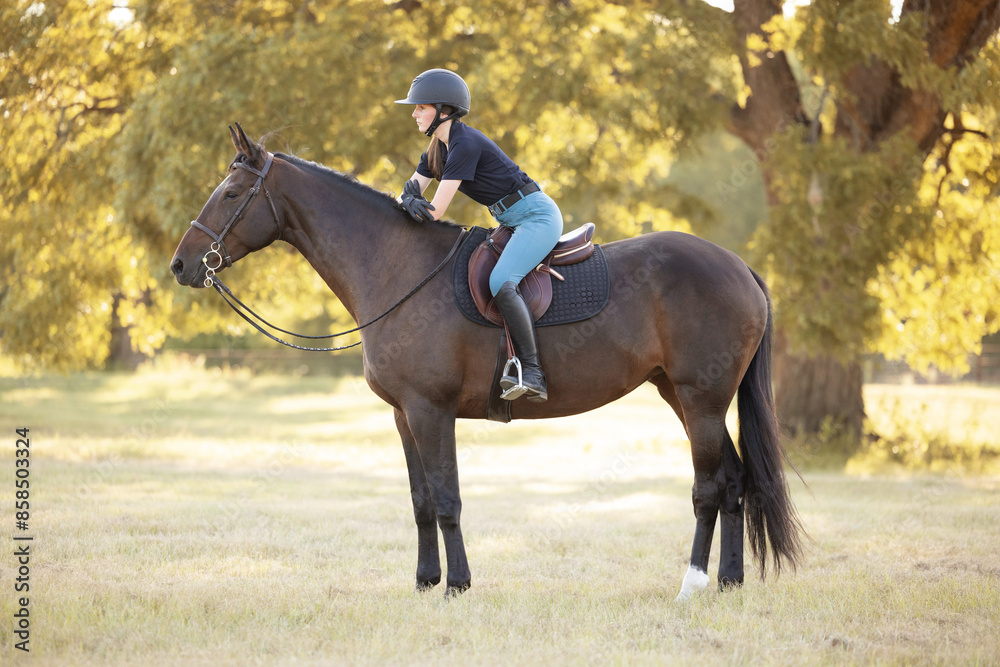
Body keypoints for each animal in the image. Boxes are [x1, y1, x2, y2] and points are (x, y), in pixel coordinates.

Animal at [170, 124, 803, 600]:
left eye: (231, 194)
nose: (181, 264)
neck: (396, 267)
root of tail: (738, 266)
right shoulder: (403, 415)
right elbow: (422, 501)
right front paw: (425, 581)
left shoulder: (431, 411)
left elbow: (447, 499)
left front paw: (457, 585)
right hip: (682, 395)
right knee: (734, 481)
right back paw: (729, 582)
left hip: (700, 399)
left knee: (709, 488)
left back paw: (692, 584)